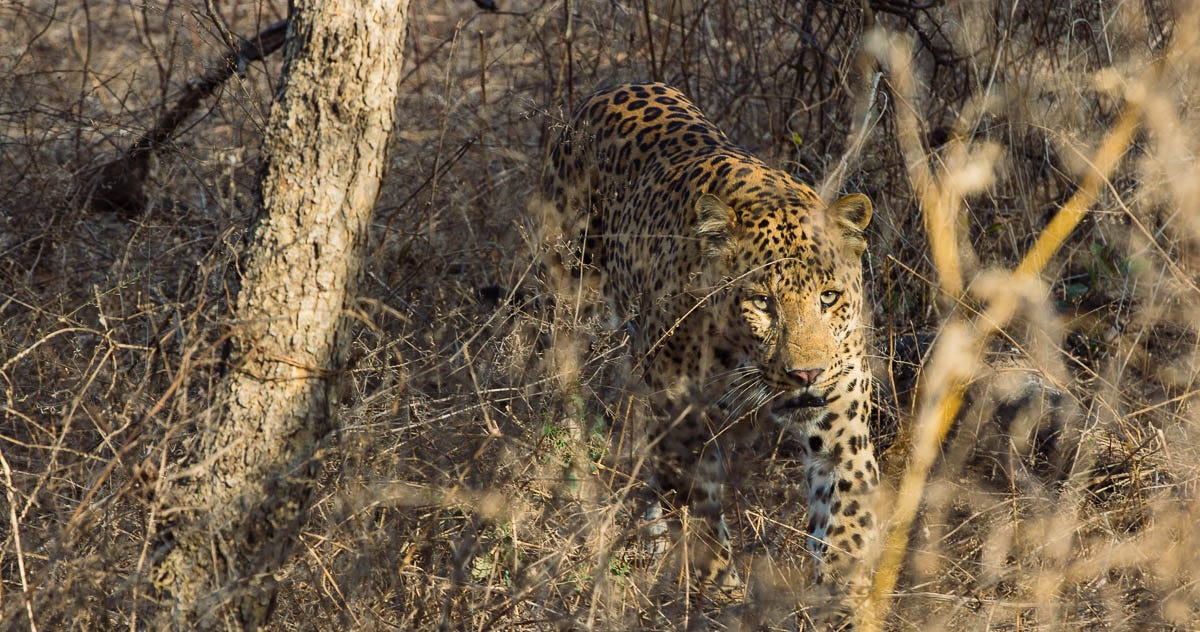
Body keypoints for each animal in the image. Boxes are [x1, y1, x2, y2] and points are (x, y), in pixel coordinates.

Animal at [540, 82, 880, 608]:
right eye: (762, 302)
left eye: (829, 297)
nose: (806, 375)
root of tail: (612, 87)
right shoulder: (682, 420)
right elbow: (703, 518)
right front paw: (722, 596)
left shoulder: (840, 421)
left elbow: (847, 521)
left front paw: (842, 602)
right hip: (573, 299)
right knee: (573, 396)